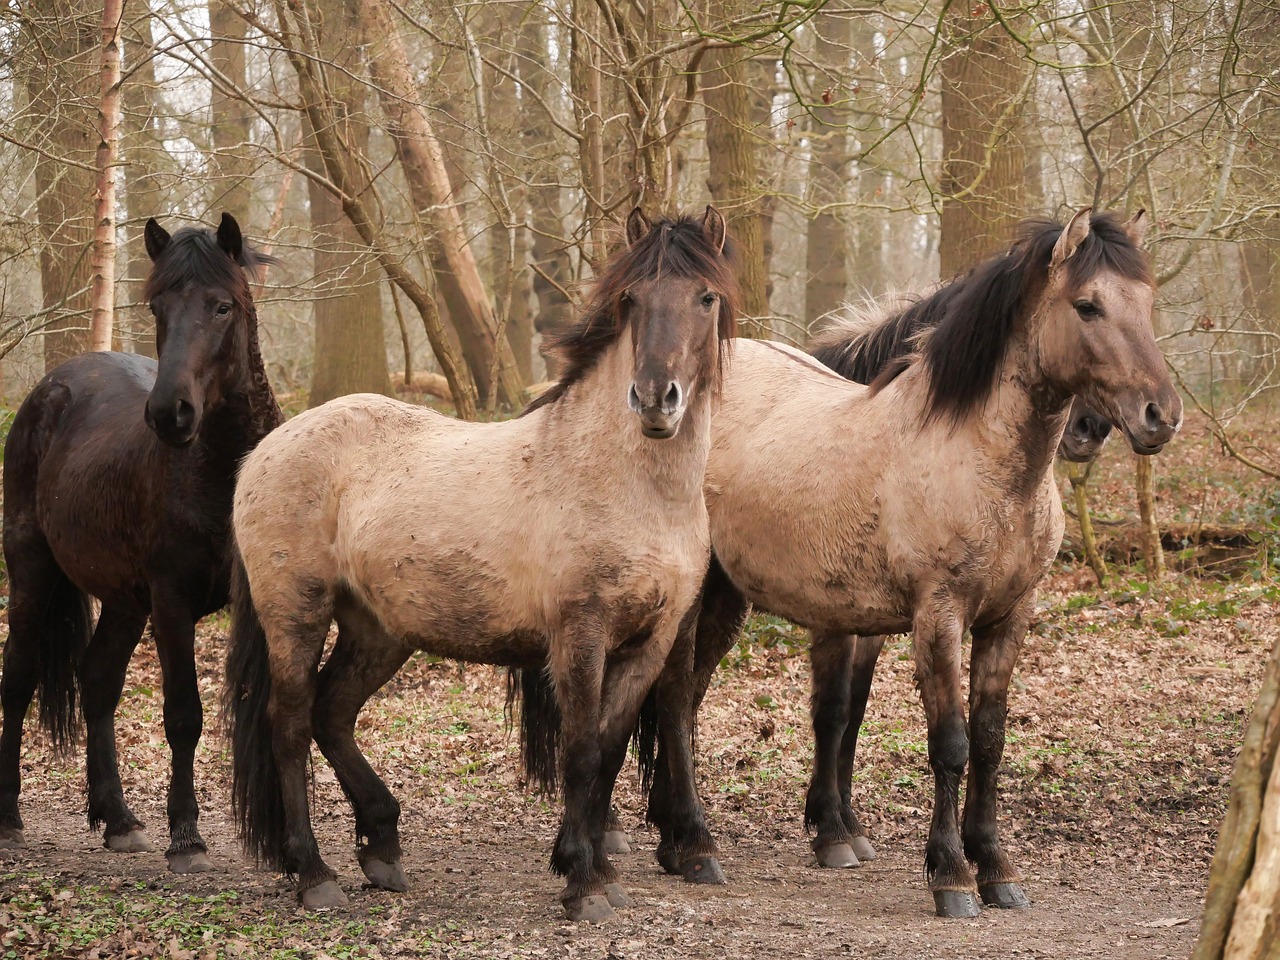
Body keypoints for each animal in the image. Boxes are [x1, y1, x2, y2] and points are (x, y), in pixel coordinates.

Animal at [0, 214, 282, 873]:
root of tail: (50, 391)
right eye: (158, 306)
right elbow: (183, 716)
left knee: (97, 680)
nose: (169, 414)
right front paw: (188, 837)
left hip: (125, 602)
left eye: (222, 306)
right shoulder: (172, 602)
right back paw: (9, 818)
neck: (222, 472)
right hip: (32, 575)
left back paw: (119, 819)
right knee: (18, 681)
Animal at [223, 207, 738, 920]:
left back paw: (381, 850)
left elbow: (608, 751)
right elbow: (582, 751)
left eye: (706, 297)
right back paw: (314, 873)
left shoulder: (652, 640)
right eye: (632, 301)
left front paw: (597, 868)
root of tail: (263, 452)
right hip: (295, 613)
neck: (633, 490)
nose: (656, 399)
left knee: (332, 713)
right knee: (291, 724)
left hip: (378, 631)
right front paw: (583, 884)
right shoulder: (581, 636)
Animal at [518, 208, 1181, 917]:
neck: (973, 455)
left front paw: (996, 869)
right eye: (1087, 305)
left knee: (683, 704)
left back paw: (671, 842)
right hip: (688, 601)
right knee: (670, 702)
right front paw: (950, 876)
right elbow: (945, 742)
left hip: (724, 597)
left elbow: (985, 739)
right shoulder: (935, 618)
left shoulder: (1006, 618)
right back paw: (689, 846)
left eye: (1146, 301)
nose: (1158, 415)